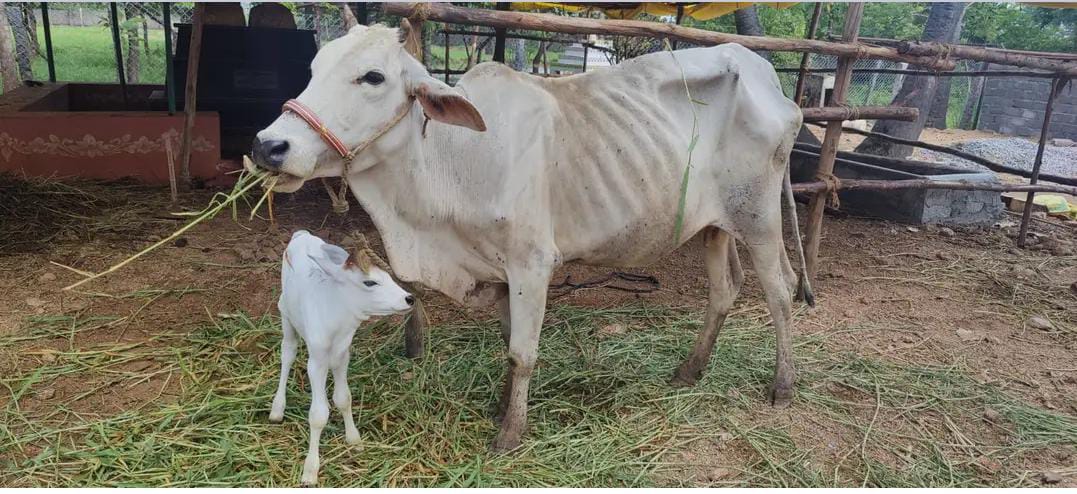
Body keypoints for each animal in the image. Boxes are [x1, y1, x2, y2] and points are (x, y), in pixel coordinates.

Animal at [251, 23, 813, 452]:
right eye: (314, 68)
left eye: (373, 77)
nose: (269, 146)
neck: (453, 158)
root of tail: (764, 73)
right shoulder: (499, 271)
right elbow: (508, 343)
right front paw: (501, 406)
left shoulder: (532, 263)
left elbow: (523, 352)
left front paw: (509, 434)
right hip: (715, 226)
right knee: (725, 289)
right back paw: (689, 371)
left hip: (759, 217)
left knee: (781, 289)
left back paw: (783, 386)